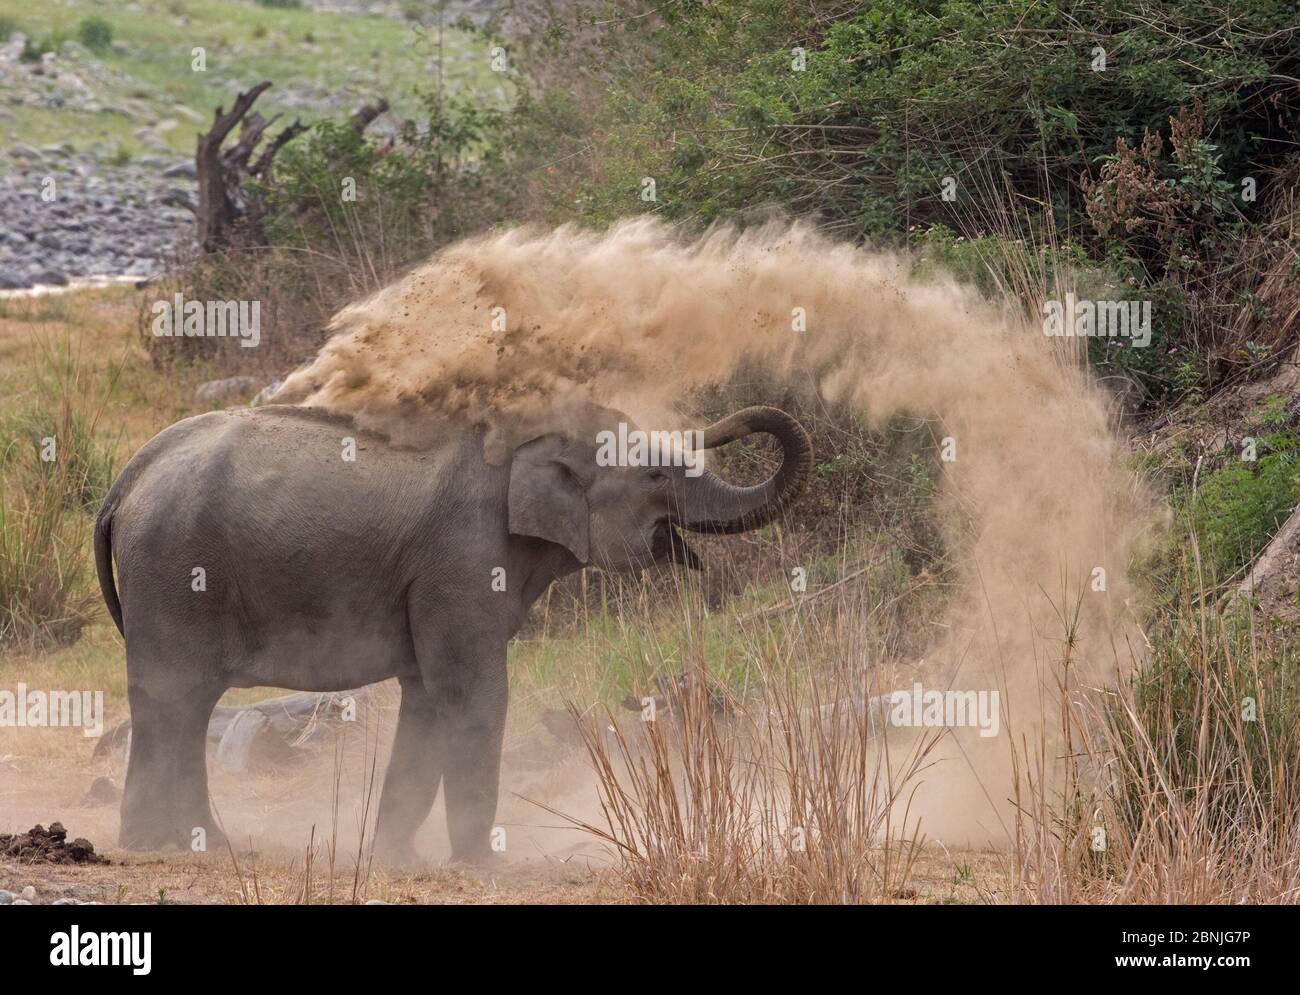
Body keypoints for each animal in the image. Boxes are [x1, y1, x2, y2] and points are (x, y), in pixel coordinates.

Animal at [93, 402, 811, 863]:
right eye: (658, 475)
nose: (724, 424)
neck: (535, 438)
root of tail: (127, 476)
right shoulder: (463, 559)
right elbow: (473, 693)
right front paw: (482, 863)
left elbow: (426, 696)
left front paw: (395, 858)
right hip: (175, 571)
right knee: (175, 700)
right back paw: (160, 844)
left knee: (182, 707)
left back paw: (192, 843)